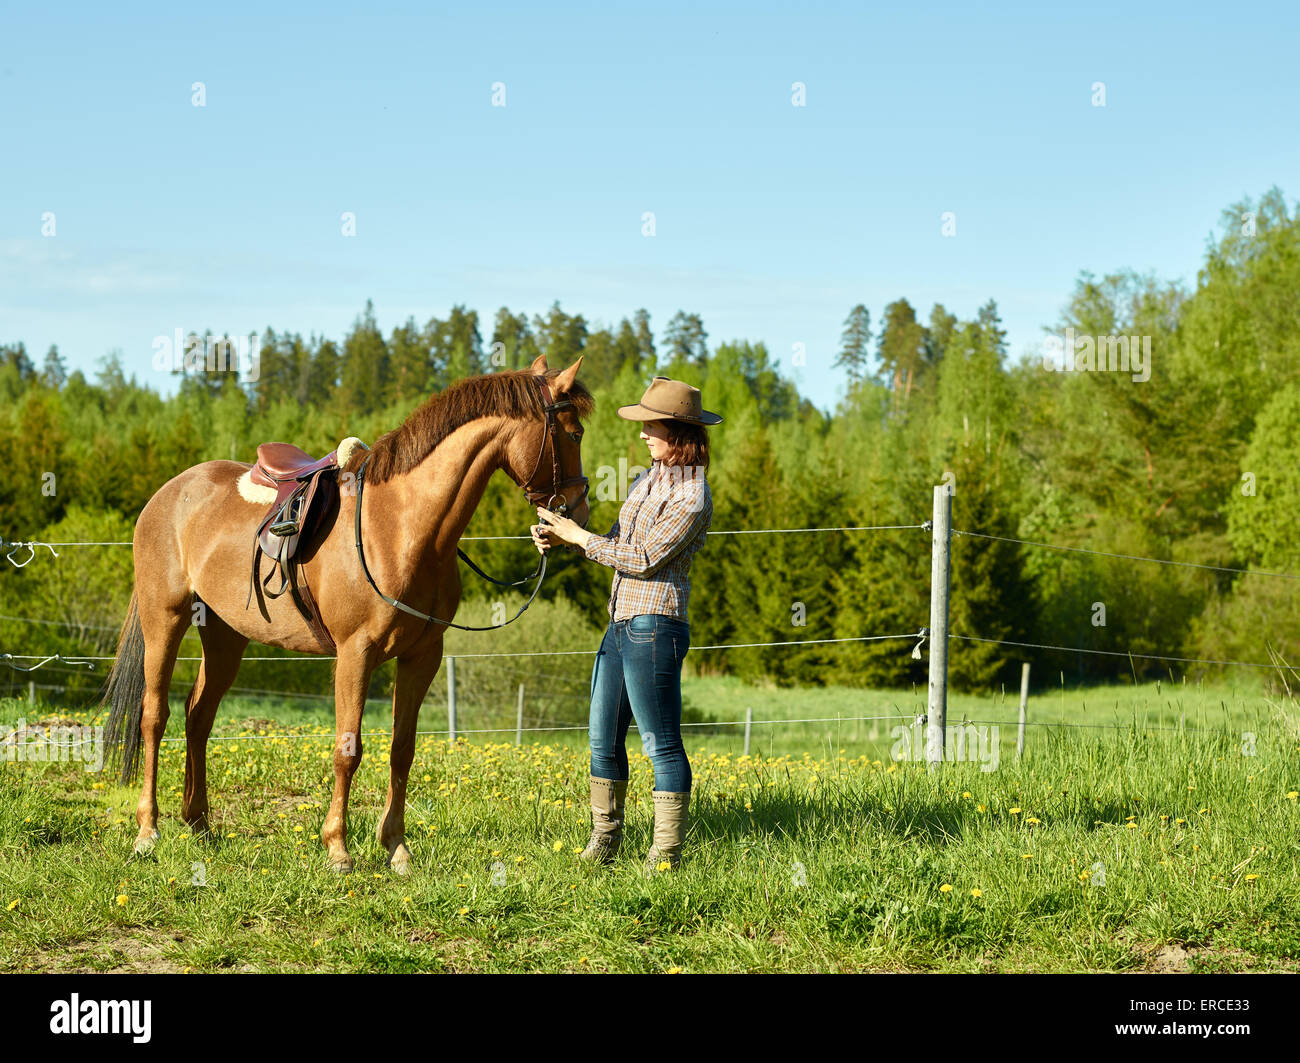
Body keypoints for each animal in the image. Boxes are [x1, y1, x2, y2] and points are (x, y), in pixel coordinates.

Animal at [100, 355, 592, 873]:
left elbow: (402, 750)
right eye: (574, 432)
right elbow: (348, 749)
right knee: (154, 716)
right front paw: (338, 847)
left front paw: (396, 848)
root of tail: (168, 494)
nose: (577, 513)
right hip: (165, 619)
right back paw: (148, 832)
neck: (400, 527)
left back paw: (199, 825)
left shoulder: (422, 656)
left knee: (198, 717)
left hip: (225, 635)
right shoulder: (356, 654)